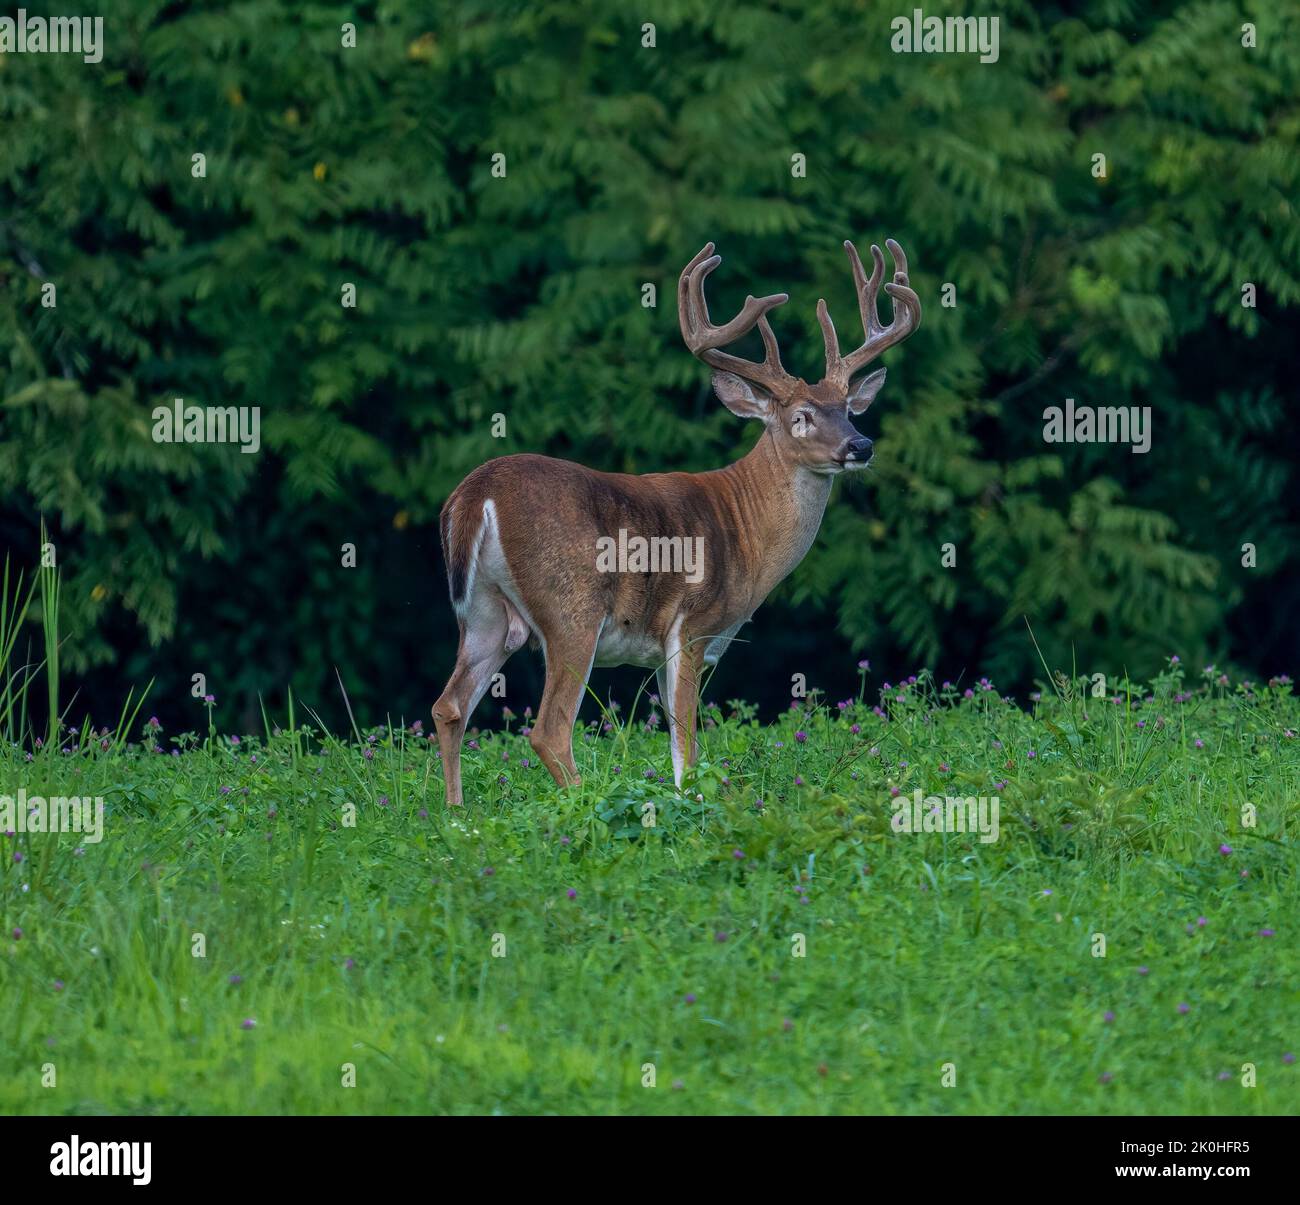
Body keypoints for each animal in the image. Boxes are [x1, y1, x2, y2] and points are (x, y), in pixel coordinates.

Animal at [433, 237, 921, 806]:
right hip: (571, 606)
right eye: (800, 416)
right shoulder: (692, 625)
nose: (860, 446)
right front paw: (692, 804)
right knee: (548, 729)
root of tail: (476, 492)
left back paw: (454, 813)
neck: (747, 530)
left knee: (449, 707)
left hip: (484, 612)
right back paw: (588, 800)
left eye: (848, 409)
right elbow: (686, 745)